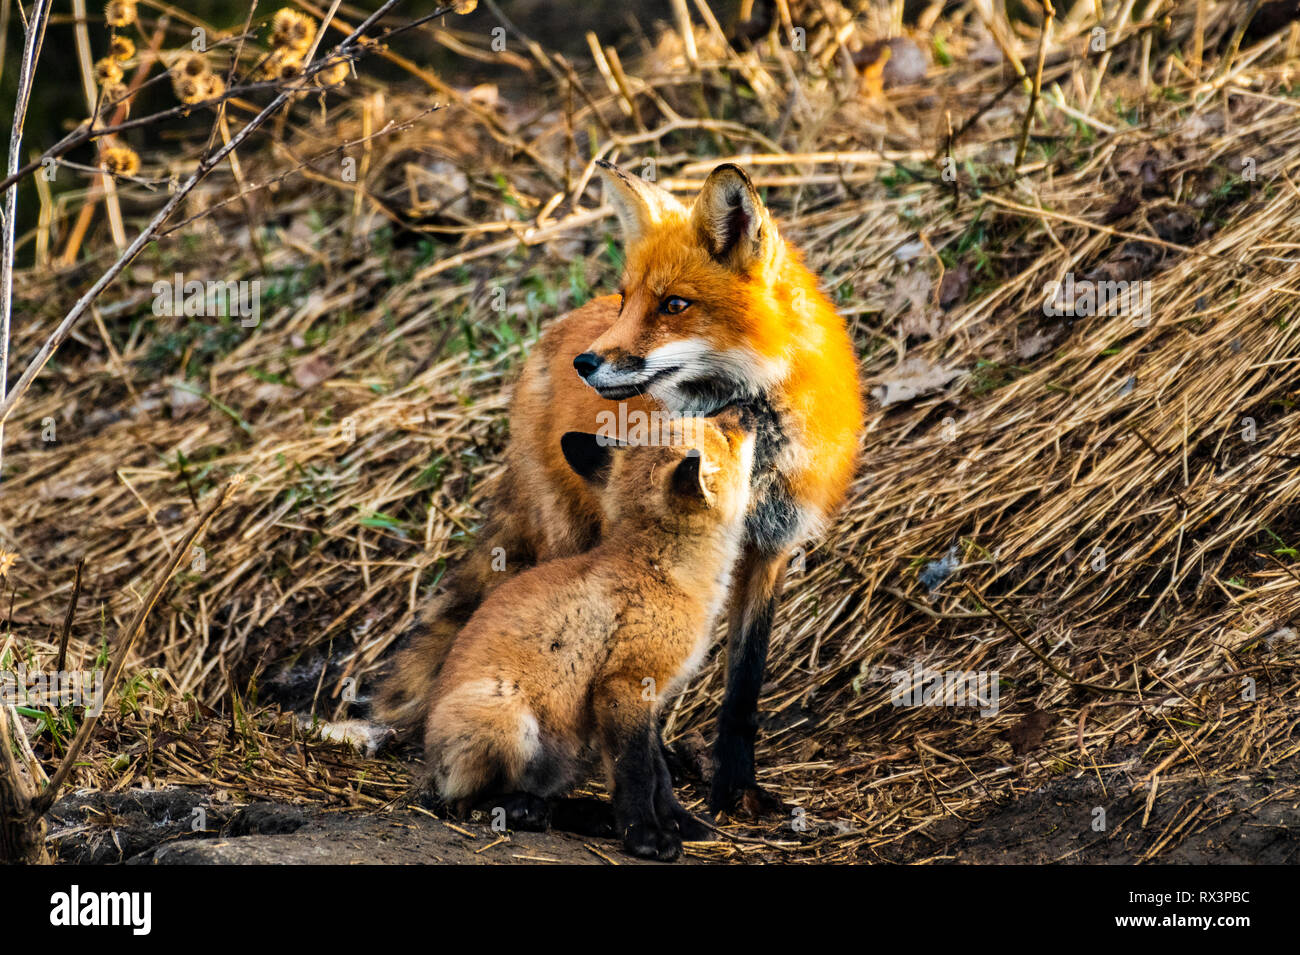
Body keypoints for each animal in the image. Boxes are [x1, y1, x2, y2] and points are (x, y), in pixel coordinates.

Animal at [379, 160, 864, 814]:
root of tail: (549, 339)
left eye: (674, 304)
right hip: (569, 537)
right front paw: (656, 791)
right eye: (630, 301)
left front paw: (736, 783)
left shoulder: (773, 545)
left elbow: (745, 685)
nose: (586, 363)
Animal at [424, 414, 754, 860]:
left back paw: (581, 814)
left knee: (538, 795)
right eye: (723, 435)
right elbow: (637, 772)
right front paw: (646, 836)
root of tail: (430, 763)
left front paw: (678, 823)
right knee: (467, 803)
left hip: (562, 757)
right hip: (509, 719)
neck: (664, 574)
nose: (744, 412)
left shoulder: (649, 697)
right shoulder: (622, 686)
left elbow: (661, 775)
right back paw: (524, 811)